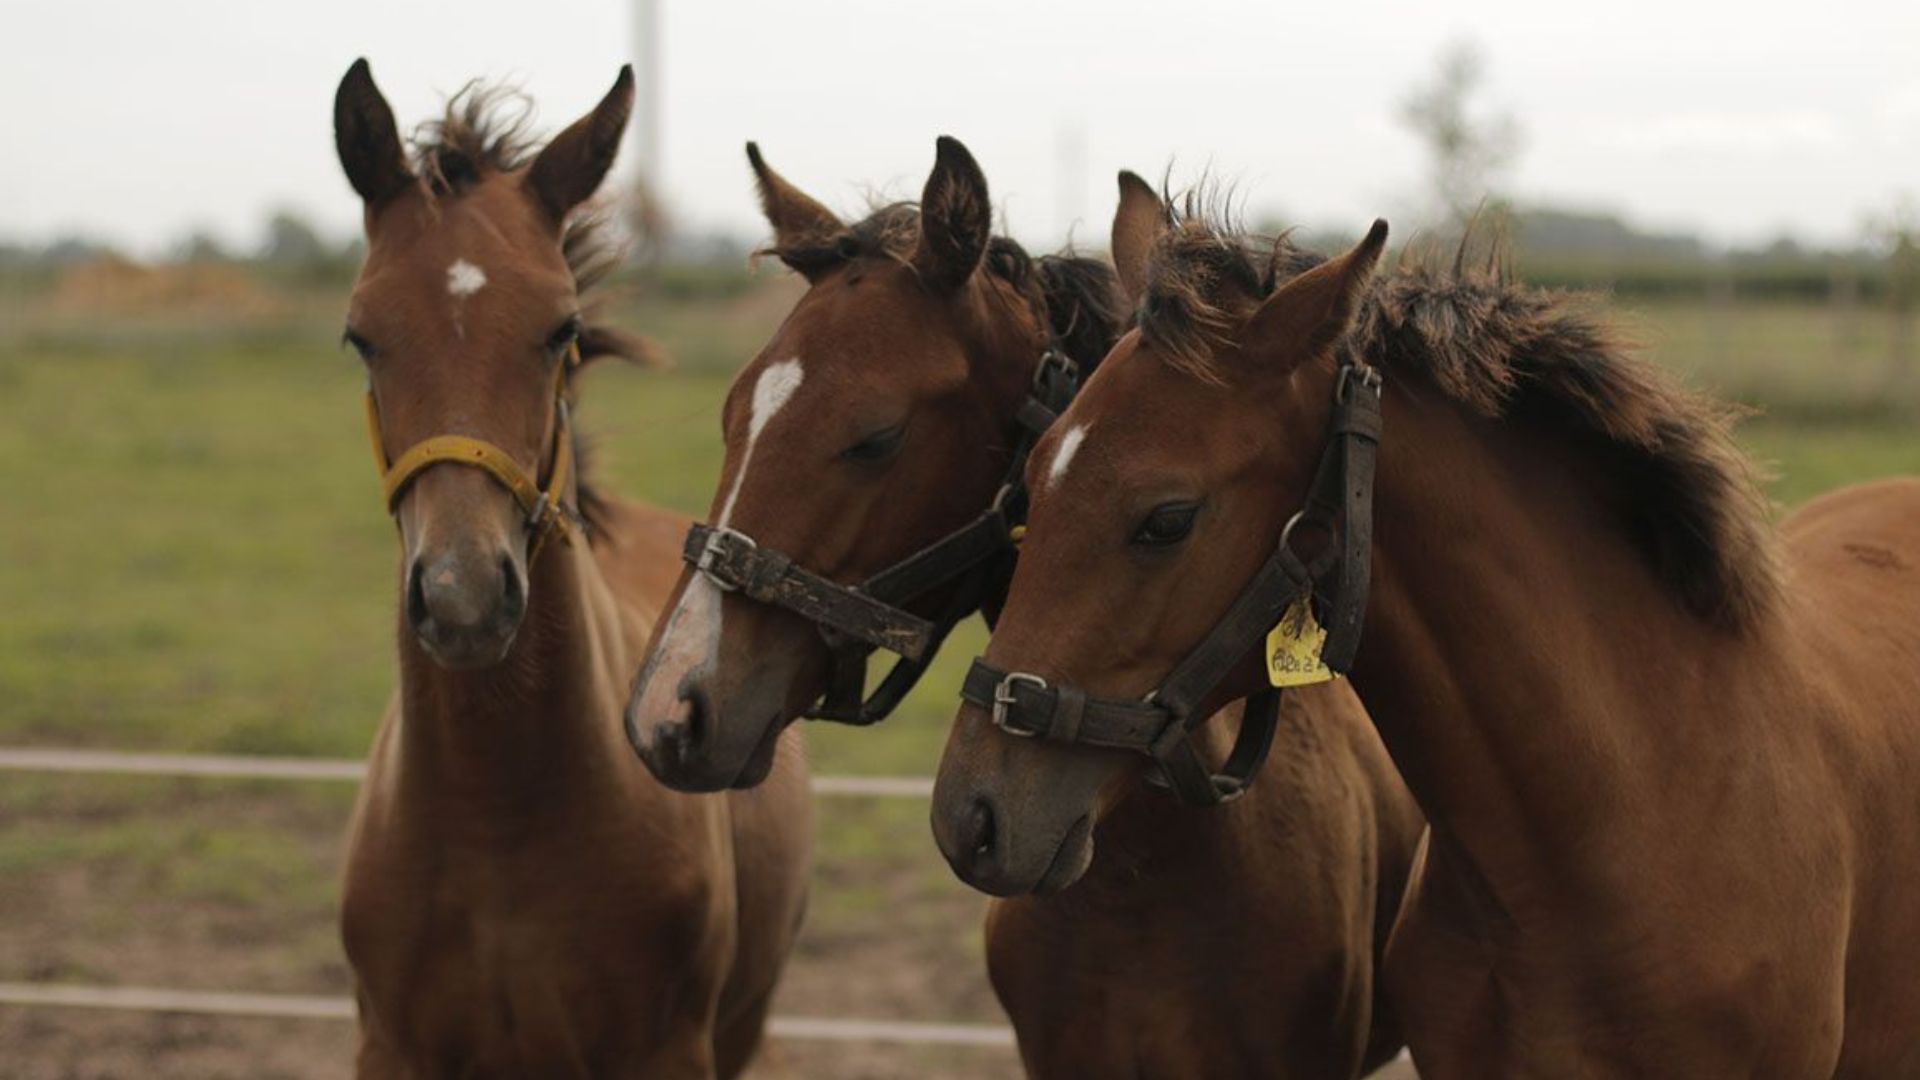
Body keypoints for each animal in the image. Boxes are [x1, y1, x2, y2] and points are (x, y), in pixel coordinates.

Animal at [331, 61, 812, 1079]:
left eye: (562, 329)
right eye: (361, 335)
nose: (465, 599)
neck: (495, 814)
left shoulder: (669, 1049)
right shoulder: (389, 1045)